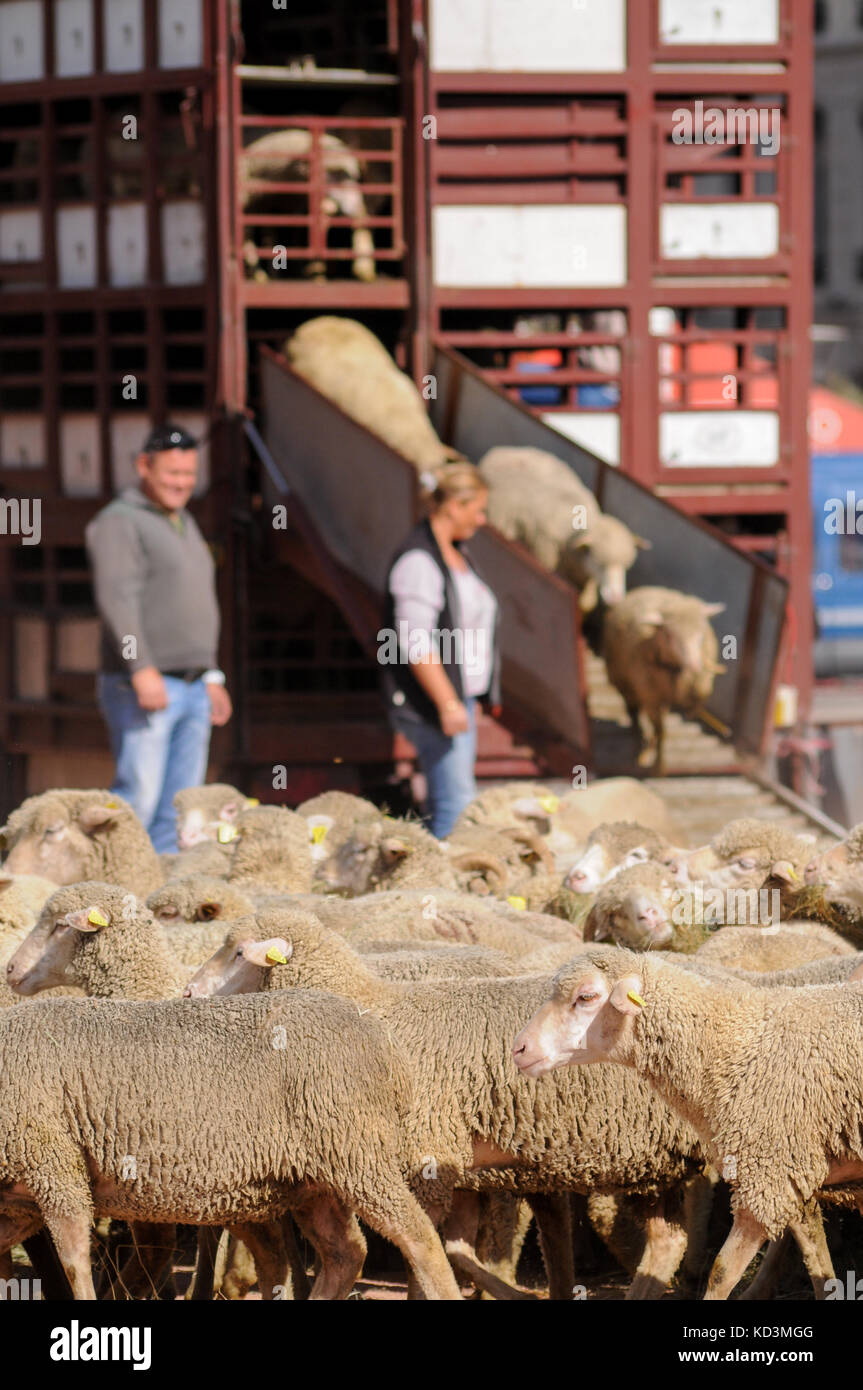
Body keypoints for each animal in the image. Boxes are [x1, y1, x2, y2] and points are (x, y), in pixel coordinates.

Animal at [0, 990, 463, 1300]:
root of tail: (383, 1039)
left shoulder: (54, 1166)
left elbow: (74, 1262)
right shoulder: (20, 1204)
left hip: (356, 1154)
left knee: (419, 1238)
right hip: (315, 1181)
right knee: (345, 1252)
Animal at [188, 905, 709, 1301]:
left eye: (238, 951)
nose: (189, 992)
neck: (372, 1006)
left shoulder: (428, 1159)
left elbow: (425, 1251)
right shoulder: (446, 1165)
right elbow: (449, 1247)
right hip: (656, 1159)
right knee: (668, 1240)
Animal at [477, 447, 650, 612]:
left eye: (626, 566)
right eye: (600, 563)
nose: (615, 598)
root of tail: (499, 450)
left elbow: (587, 603)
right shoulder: (546, 553)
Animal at [513, 943, 863, 1298]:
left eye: (586, 997)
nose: (519, 1048)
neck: (731, 1046)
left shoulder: (768, 1174)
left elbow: (722, 1271)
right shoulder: (790, 1171)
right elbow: (816, 1256)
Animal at [601, 587, 726, 773]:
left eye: (701, 634)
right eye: (669, 635)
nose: (695, 666)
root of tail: (641, 590)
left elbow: (703, 692)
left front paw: (692, 710)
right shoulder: (650, 696)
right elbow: (661, 732)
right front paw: (659, 767)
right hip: (624, 683)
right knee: (634, 713)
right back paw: (639, 744)